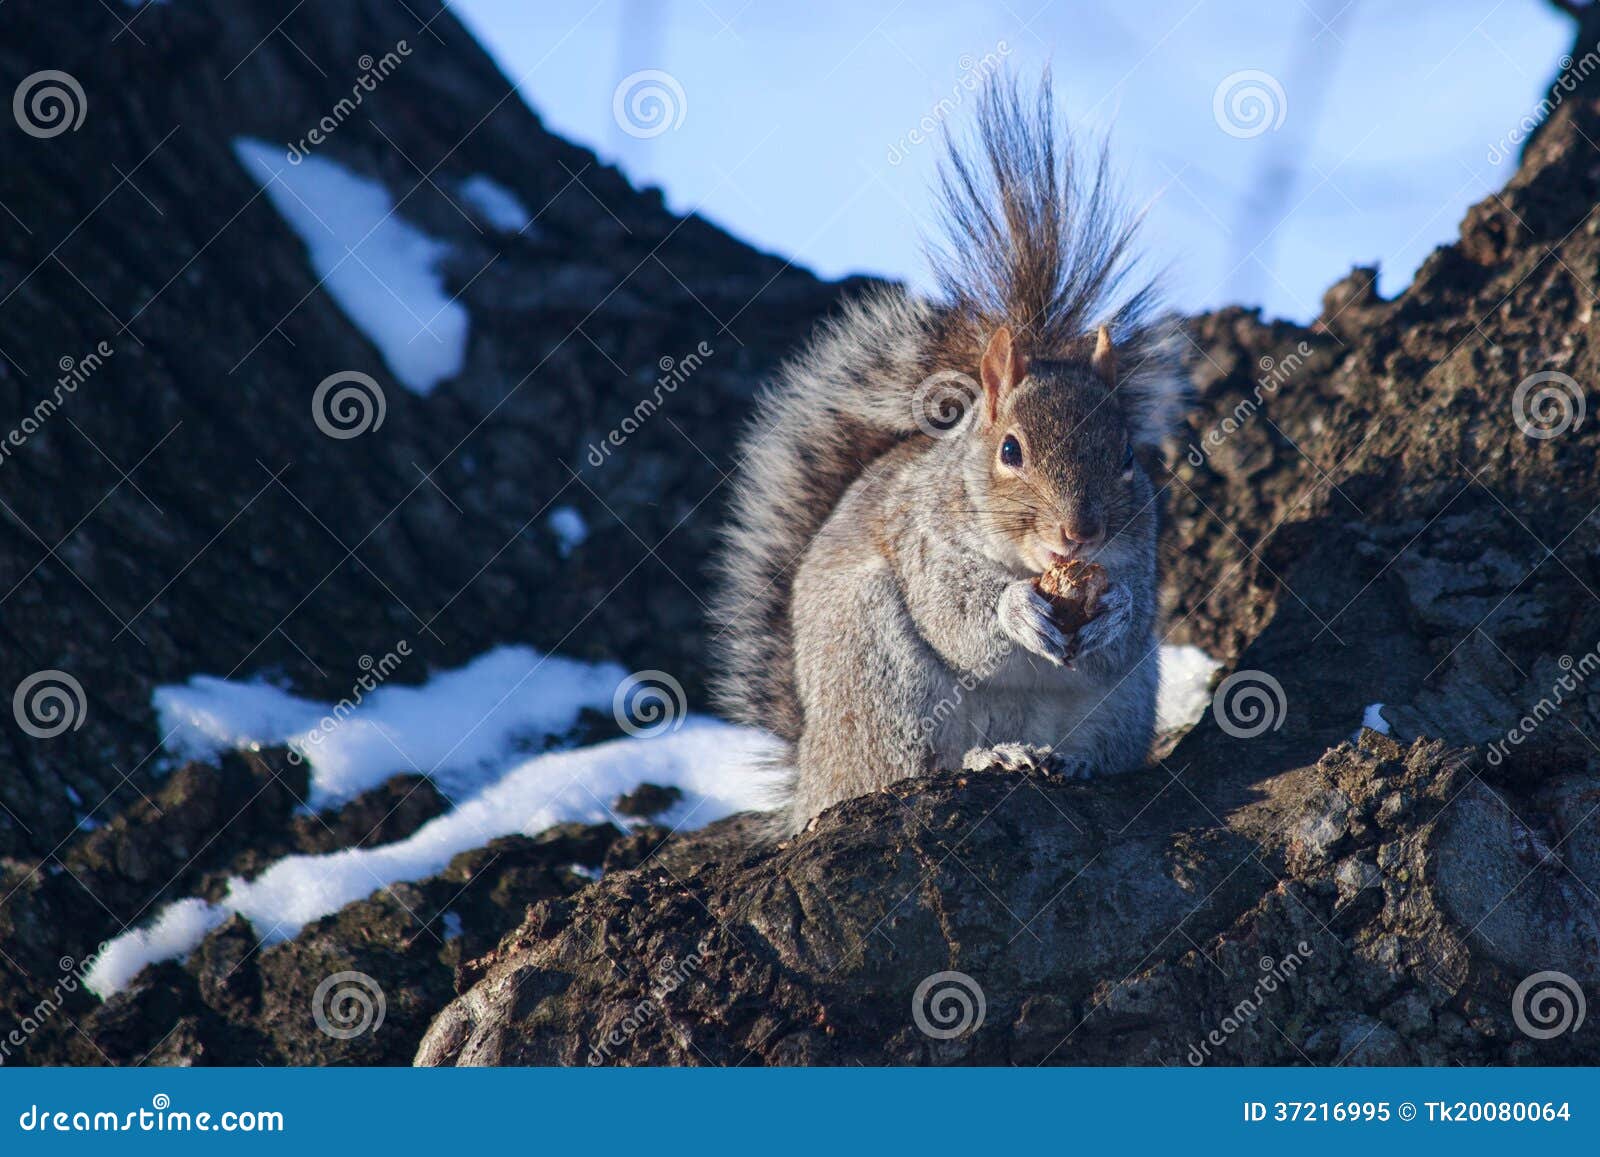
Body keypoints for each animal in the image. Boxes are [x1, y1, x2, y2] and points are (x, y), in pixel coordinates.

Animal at [710, 78, 1189, 835]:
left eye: (1126, 457)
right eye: (1011, 450)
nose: (1079, 534)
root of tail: (815, 778)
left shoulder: (1142, 554)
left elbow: (1133, 616)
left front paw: (1112, 607)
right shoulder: (924, 538)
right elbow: (956, 613)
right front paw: (1014, 609)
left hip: (1123, 702)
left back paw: (1068, 760)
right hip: (879, 674)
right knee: (913, 765)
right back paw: (987, 756)